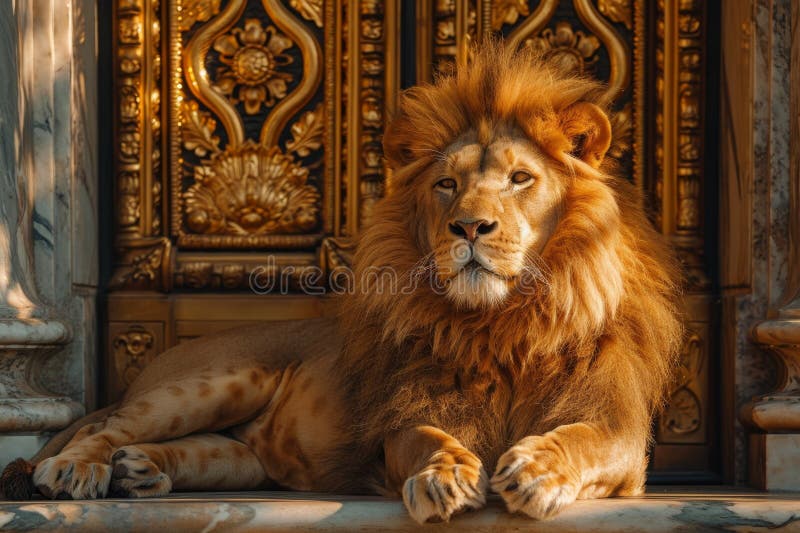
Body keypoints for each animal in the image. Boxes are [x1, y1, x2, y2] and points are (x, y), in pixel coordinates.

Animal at [0, 41, 681, 523]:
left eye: (520, 179)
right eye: (447, 184)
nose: (469, 226)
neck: (504, 321)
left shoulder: (620, 440)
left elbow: (582, 441)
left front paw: (537, 471)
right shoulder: (405, 418)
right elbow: (429, 438)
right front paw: (446, 475)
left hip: (240, 458)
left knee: (197, 452)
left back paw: (141, 472)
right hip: (206, 384)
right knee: (104, 427)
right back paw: (76, 471)